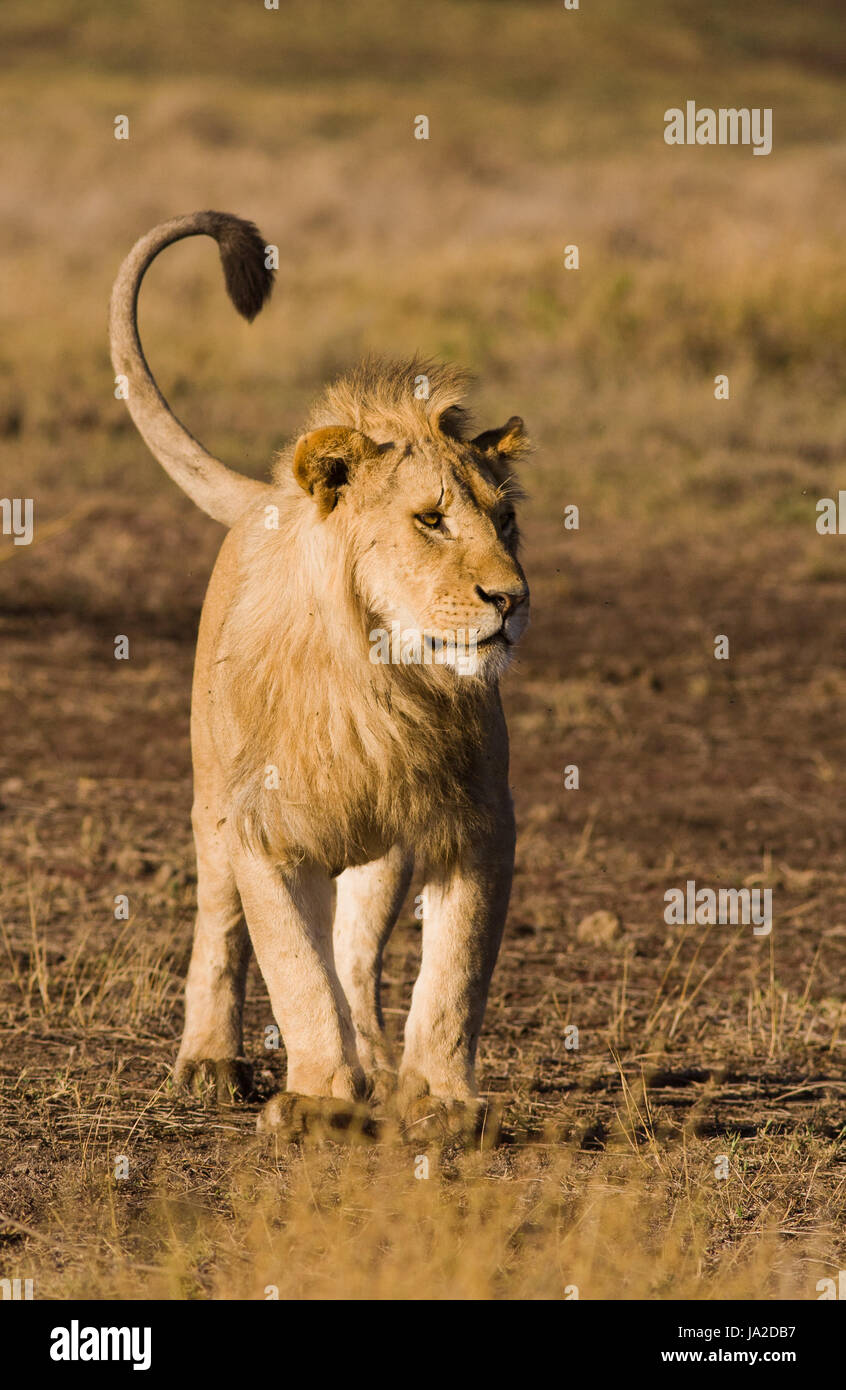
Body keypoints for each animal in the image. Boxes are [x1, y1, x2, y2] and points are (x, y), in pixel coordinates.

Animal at [110, 212, 530, 1139]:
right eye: (431, 521)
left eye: (507, 521)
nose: (512, 599)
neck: (382, 681)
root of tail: (265, 496)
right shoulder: (260, 827)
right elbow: (292, 967)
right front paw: (320, 1100)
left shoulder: (476, 822)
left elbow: (453, 977)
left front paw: (443, 1102)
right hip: (211, 793)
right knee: (222, 923)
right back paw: (212, 1061)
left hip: (382, 846)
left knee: (356, 950)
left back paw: (376, 1062)